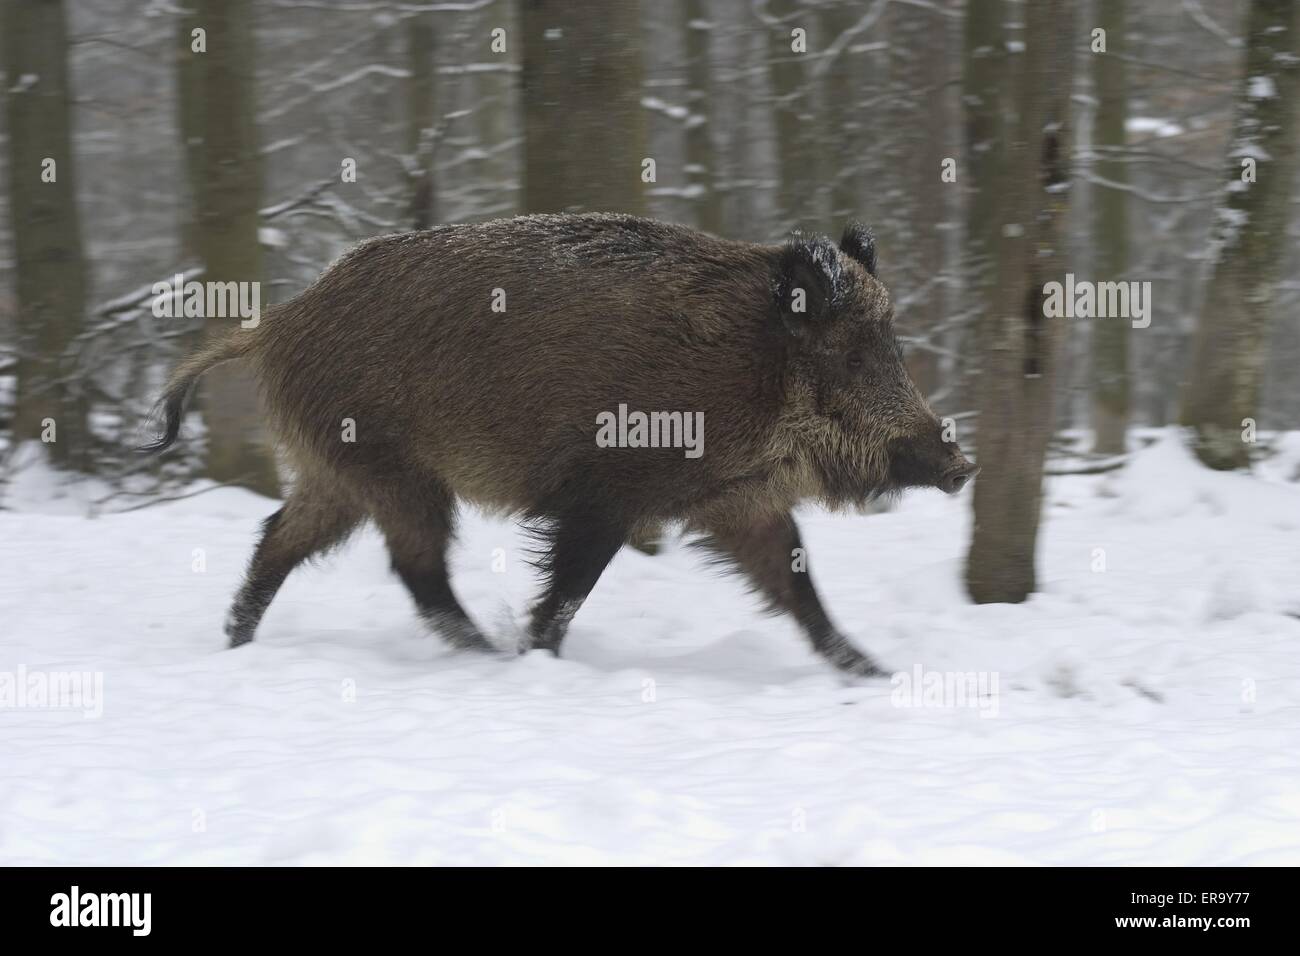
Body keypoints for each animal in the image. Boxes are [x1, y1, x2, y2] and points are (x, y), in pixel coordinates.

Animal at [141, 214, 978, 676]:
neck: (754, 368)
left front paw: (873, 673)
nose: (962, 463)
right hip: (393, 472)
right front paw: (538, 656)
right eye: (855, 356)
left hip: (338, 474)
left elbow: (799, 586)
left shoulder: (734, 501)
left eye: (893, 345)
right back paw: (486, 655)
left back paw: (239, 642)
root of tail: (279, 322)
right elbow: (570, 587)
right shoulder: (604, 493)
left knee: (278, 542)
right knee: (413, 567)